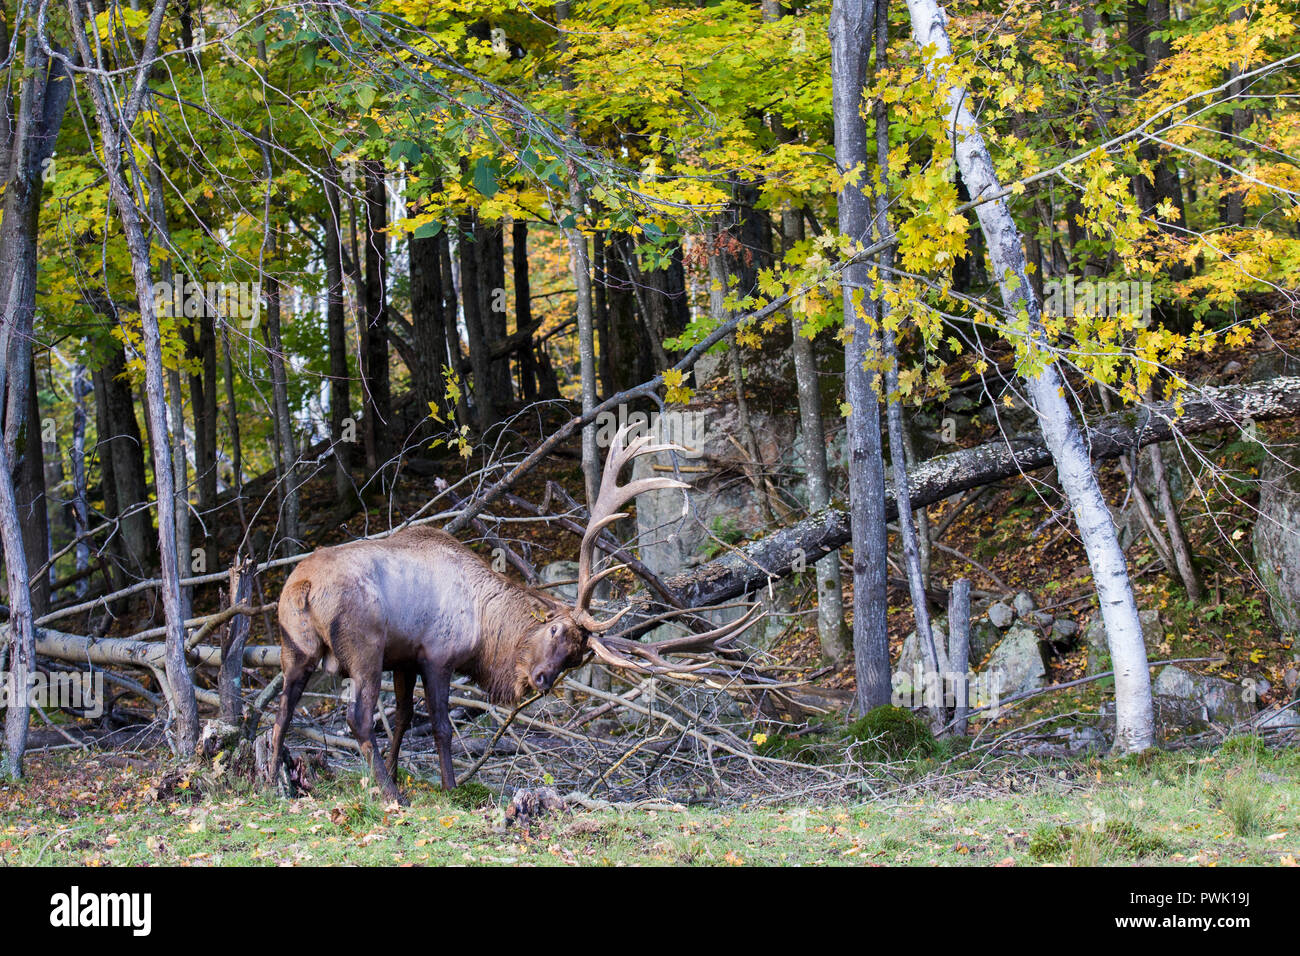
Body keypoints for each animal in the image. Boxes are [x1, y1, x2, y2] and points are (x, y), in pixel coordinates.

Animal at [266, 425, 758, 803]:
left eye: (578, 658)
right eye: (556, 630)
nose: (541, 680)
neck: (485, 634)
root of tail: (302, 586)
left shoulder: (403, 657)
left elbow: (403, 718)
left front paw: (394, 771)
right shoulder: (437, 654)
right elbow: (441, 726)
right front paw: (449, 787)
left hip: (295, 646)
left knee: (284, 707)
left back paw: (272, 781)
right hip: (363, 646)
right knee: (356, 718)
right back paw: (392, 794)